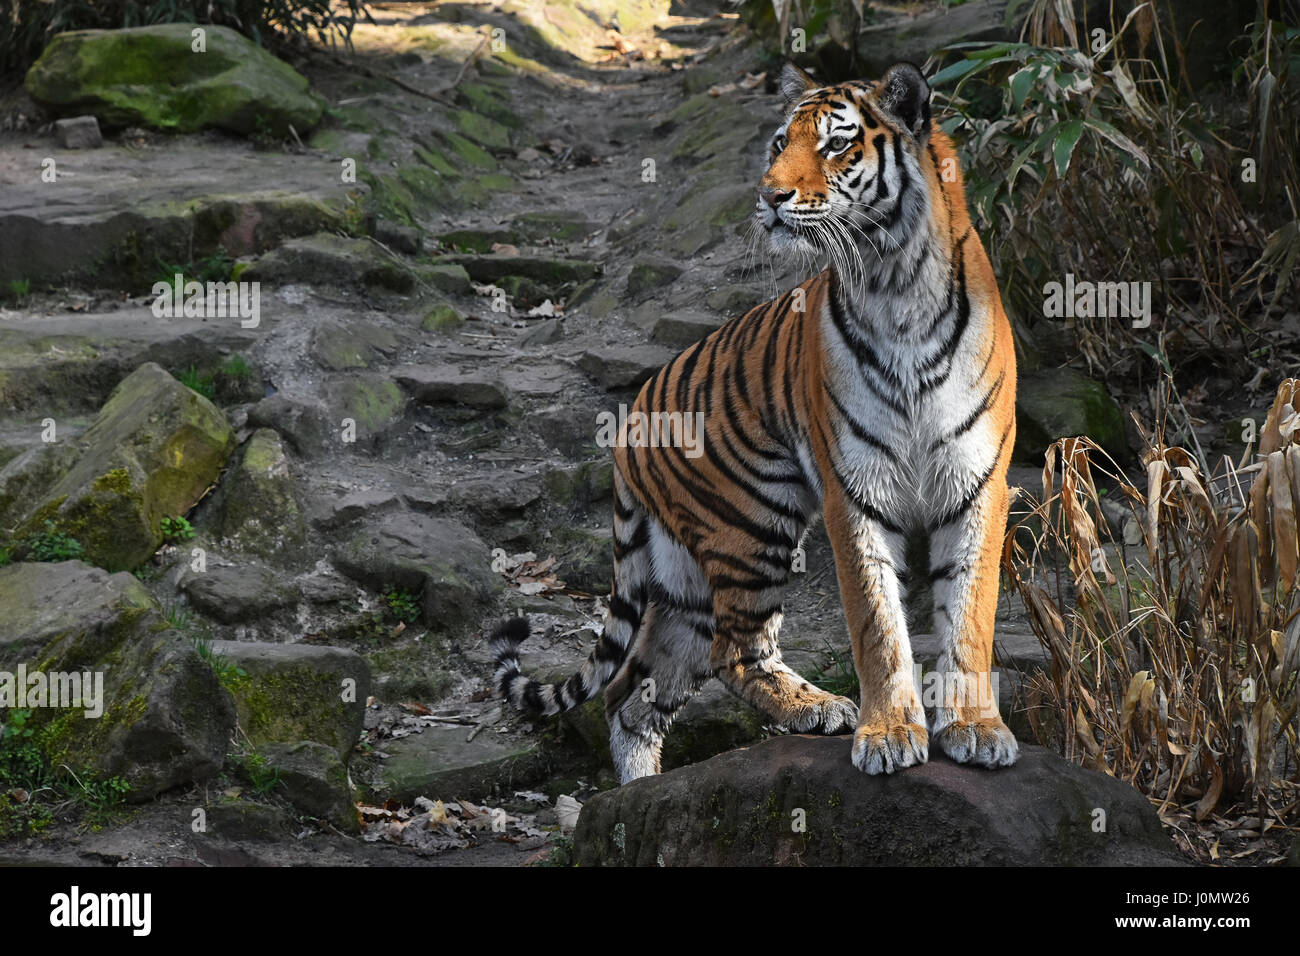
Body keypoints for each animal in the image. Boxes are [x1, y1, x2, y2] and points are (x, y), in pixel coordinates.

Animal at [492, 60, 1019, 783]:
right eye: (778, 143)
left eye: (835, 144)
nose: (769, 196)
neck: (894, 282)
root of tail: (630, 421)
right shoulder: (853, 492)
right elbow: (878, 625)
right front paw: (888, 734)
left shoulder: (976, 483)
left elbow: (970, 613)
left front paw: (976, 728)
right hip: (750, 522)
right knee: (729, 654)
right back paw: (821, 709)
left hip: (687, 574)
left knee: (633, 693)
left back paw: (635, 793)